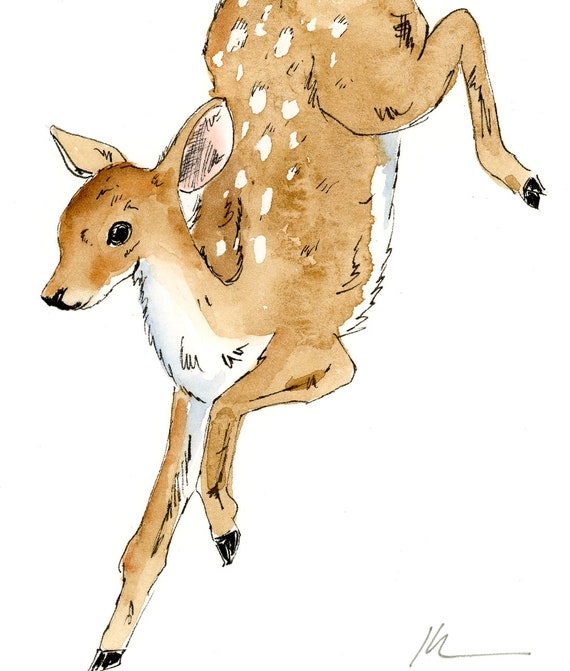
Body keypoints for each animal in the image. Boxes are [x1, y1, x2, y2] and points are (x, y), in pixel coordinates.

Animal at [42, 1, 543, 669]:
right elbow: (144, 541)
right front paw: (107, 650)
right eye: (61, 224)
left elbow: (240, 406)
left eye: (119, 231)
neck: (232, 315)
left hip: (374, 93)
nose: (54, 295)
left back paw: (526, 181)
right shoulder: (187, 390)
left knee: (461, 24)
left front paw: (227, 529)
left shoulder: (322, 348)